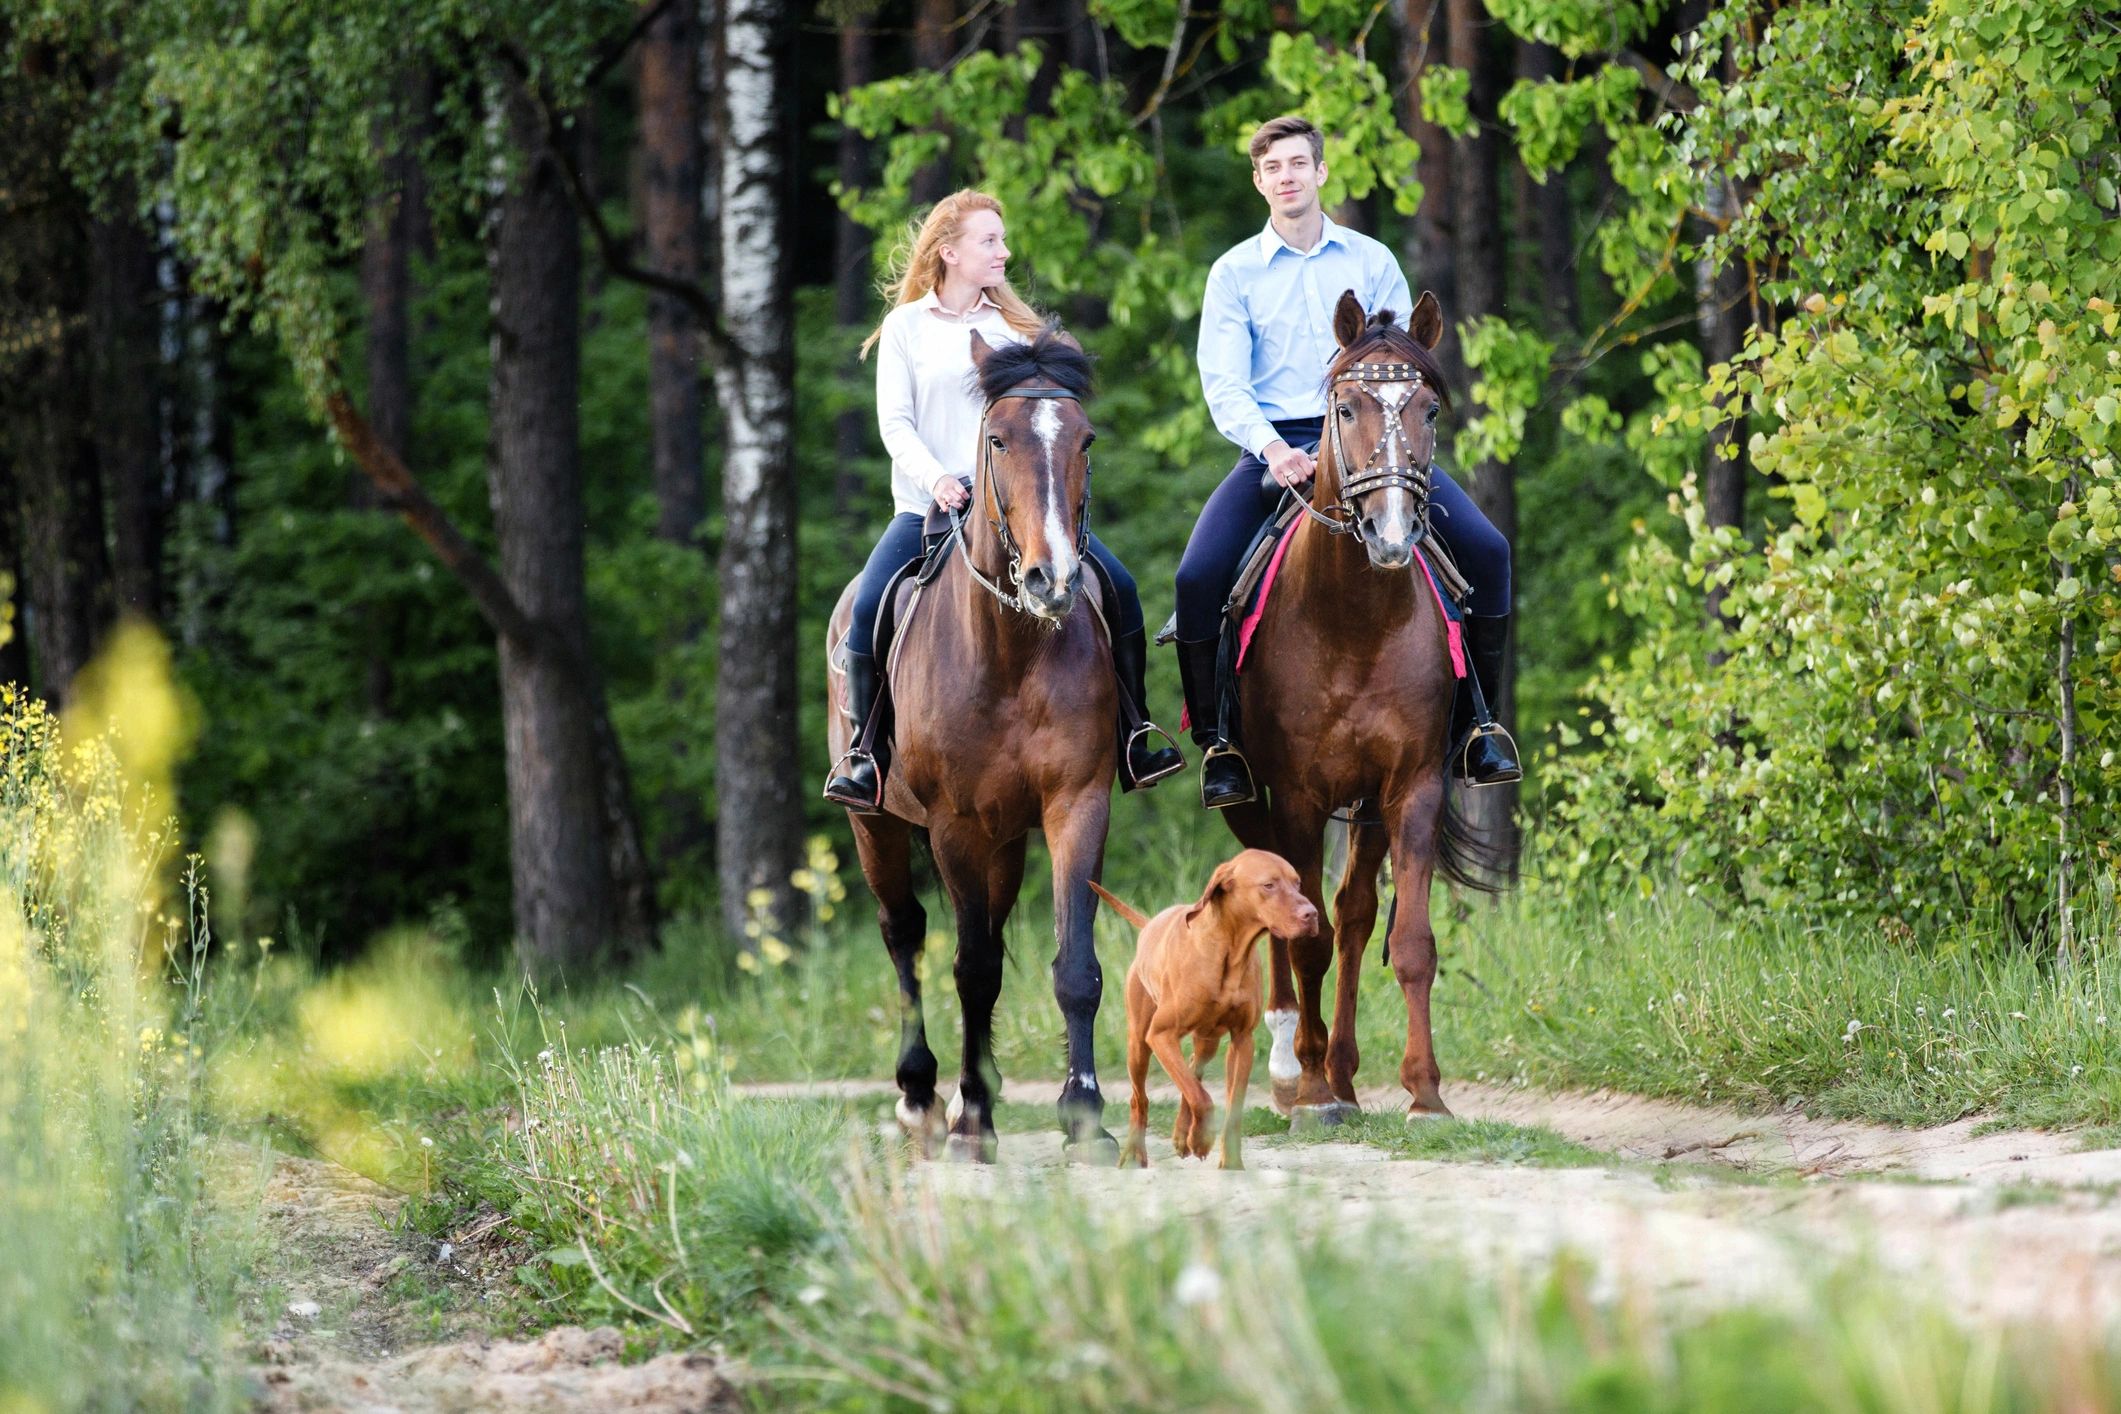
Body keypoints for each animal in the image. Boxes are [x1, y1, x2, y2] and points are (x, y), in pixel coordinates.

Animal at [825, 325, 1121, 1162]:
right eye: (997, 438)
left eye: (1085, 438)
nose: (1053, 579)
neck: (1011, 650)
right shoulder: (952, 825)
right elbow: (972, 969)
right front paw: (972, 1125)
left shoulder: (1075, 804)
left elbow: (1073, 965)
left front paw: (1084, 1116)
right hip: (875, 825)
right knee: (906, 934)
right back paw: (923, 1098)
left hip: (1004, 841)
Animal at [1219, 288, 1491, 1124]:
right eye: (1344, 407)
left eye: (1428, 408)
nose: (1392, 532)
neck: (1354, 621)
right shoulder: (1298, 797)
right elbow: (1300, 934)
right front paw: (1307, 1092)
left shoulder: (1410, 788)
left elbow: (1407, 943)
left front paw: (1424, 1092)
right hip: (1249, 800)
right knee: (1277, 905)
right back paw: (1290, 1069)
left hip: (1366, 809)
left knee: (1352, 916)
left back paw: (1338, 1070)